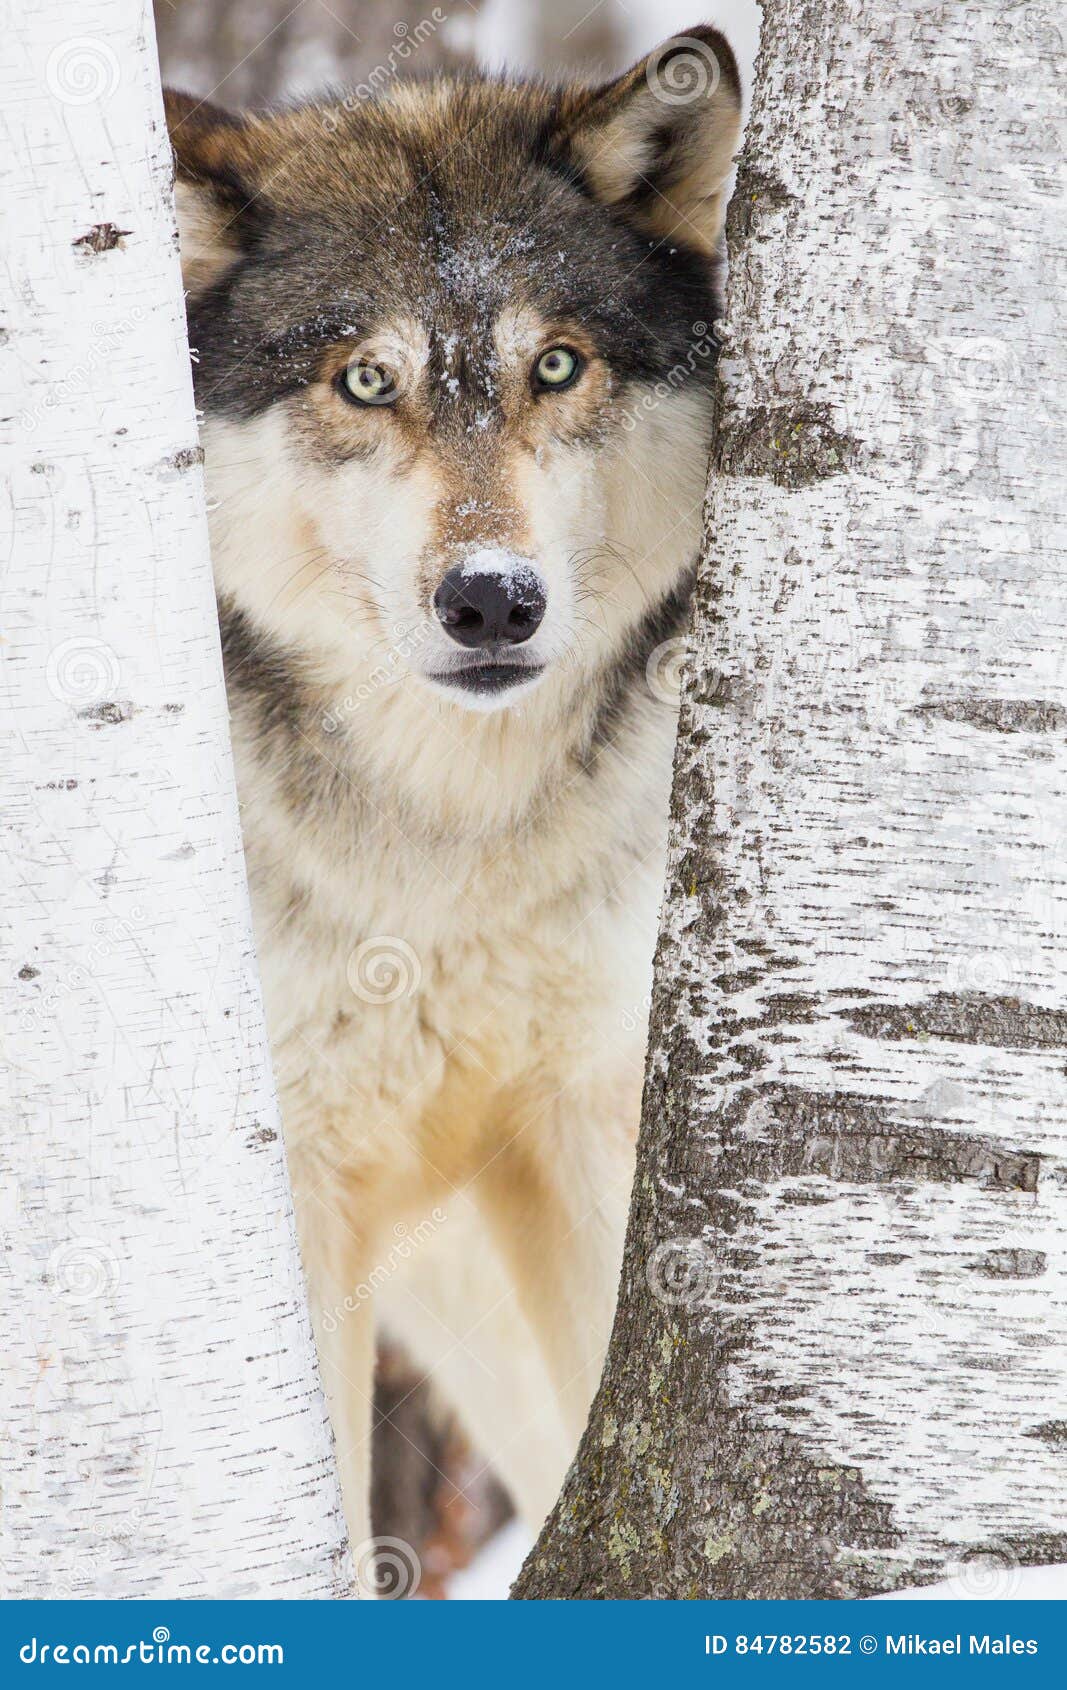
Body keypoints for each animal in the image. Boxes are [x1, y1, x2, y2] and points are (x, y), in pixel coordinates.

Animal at [165, 25, 741, 1565]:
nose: (490, 599)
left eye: (555, 364)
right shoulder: (301, 1199)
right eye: (364, 382)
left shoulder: (588, 1126)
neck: (439, 852)